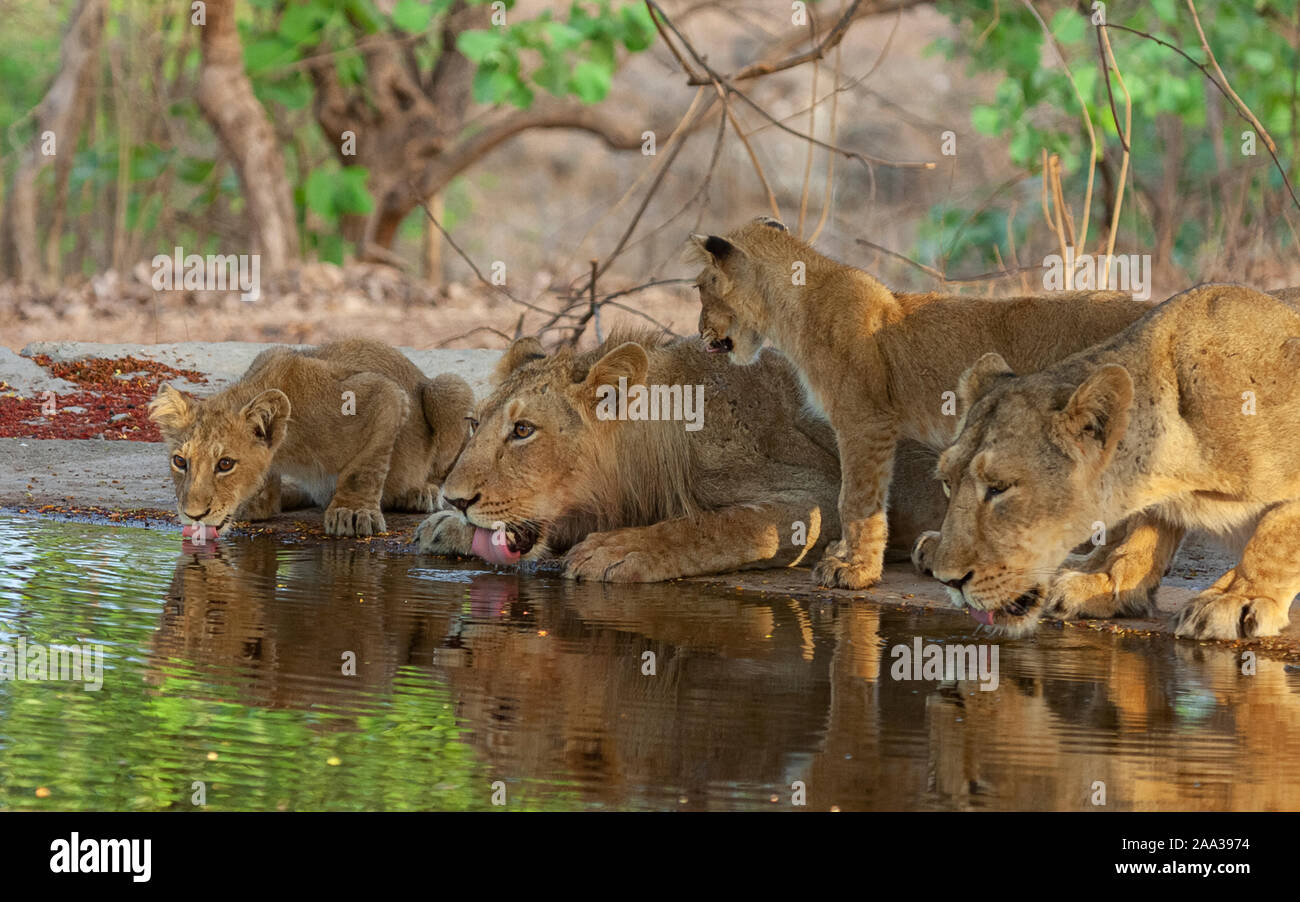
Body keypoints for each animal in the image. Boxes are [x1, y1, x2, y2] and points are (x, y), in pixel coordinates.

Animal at [149, 339, 474, 537]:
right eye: (180, 462)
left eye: (225, 464)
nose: (193, 515)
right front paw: (259, 503)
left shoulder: (383, 395)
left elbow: (364, 468)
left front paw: (351, 512)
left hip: (449, 389)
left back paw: (419, 493)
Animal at [414, 329, 947, 581]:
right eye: (475, 424)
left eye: (523, 430)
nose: (455, 498)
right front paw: (449, 525)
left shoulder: (819, 489)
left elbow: (722, 526)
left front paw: (622, 551)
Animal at [687, 215, 1161, 596]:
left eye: (700, 289)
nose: (698, 330)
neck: (793, 309)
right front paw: (848, 555)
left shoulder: (866, 420)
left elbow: (856, 499)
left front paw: (855, 569)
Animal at [919, 283, 1300, 640]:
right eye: (947, 482)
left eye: (1000, 488)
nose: (949, 581)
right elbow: (1145, 529)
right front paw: (1108, 583)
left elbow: (1276, 532)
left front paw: (1238, 598)